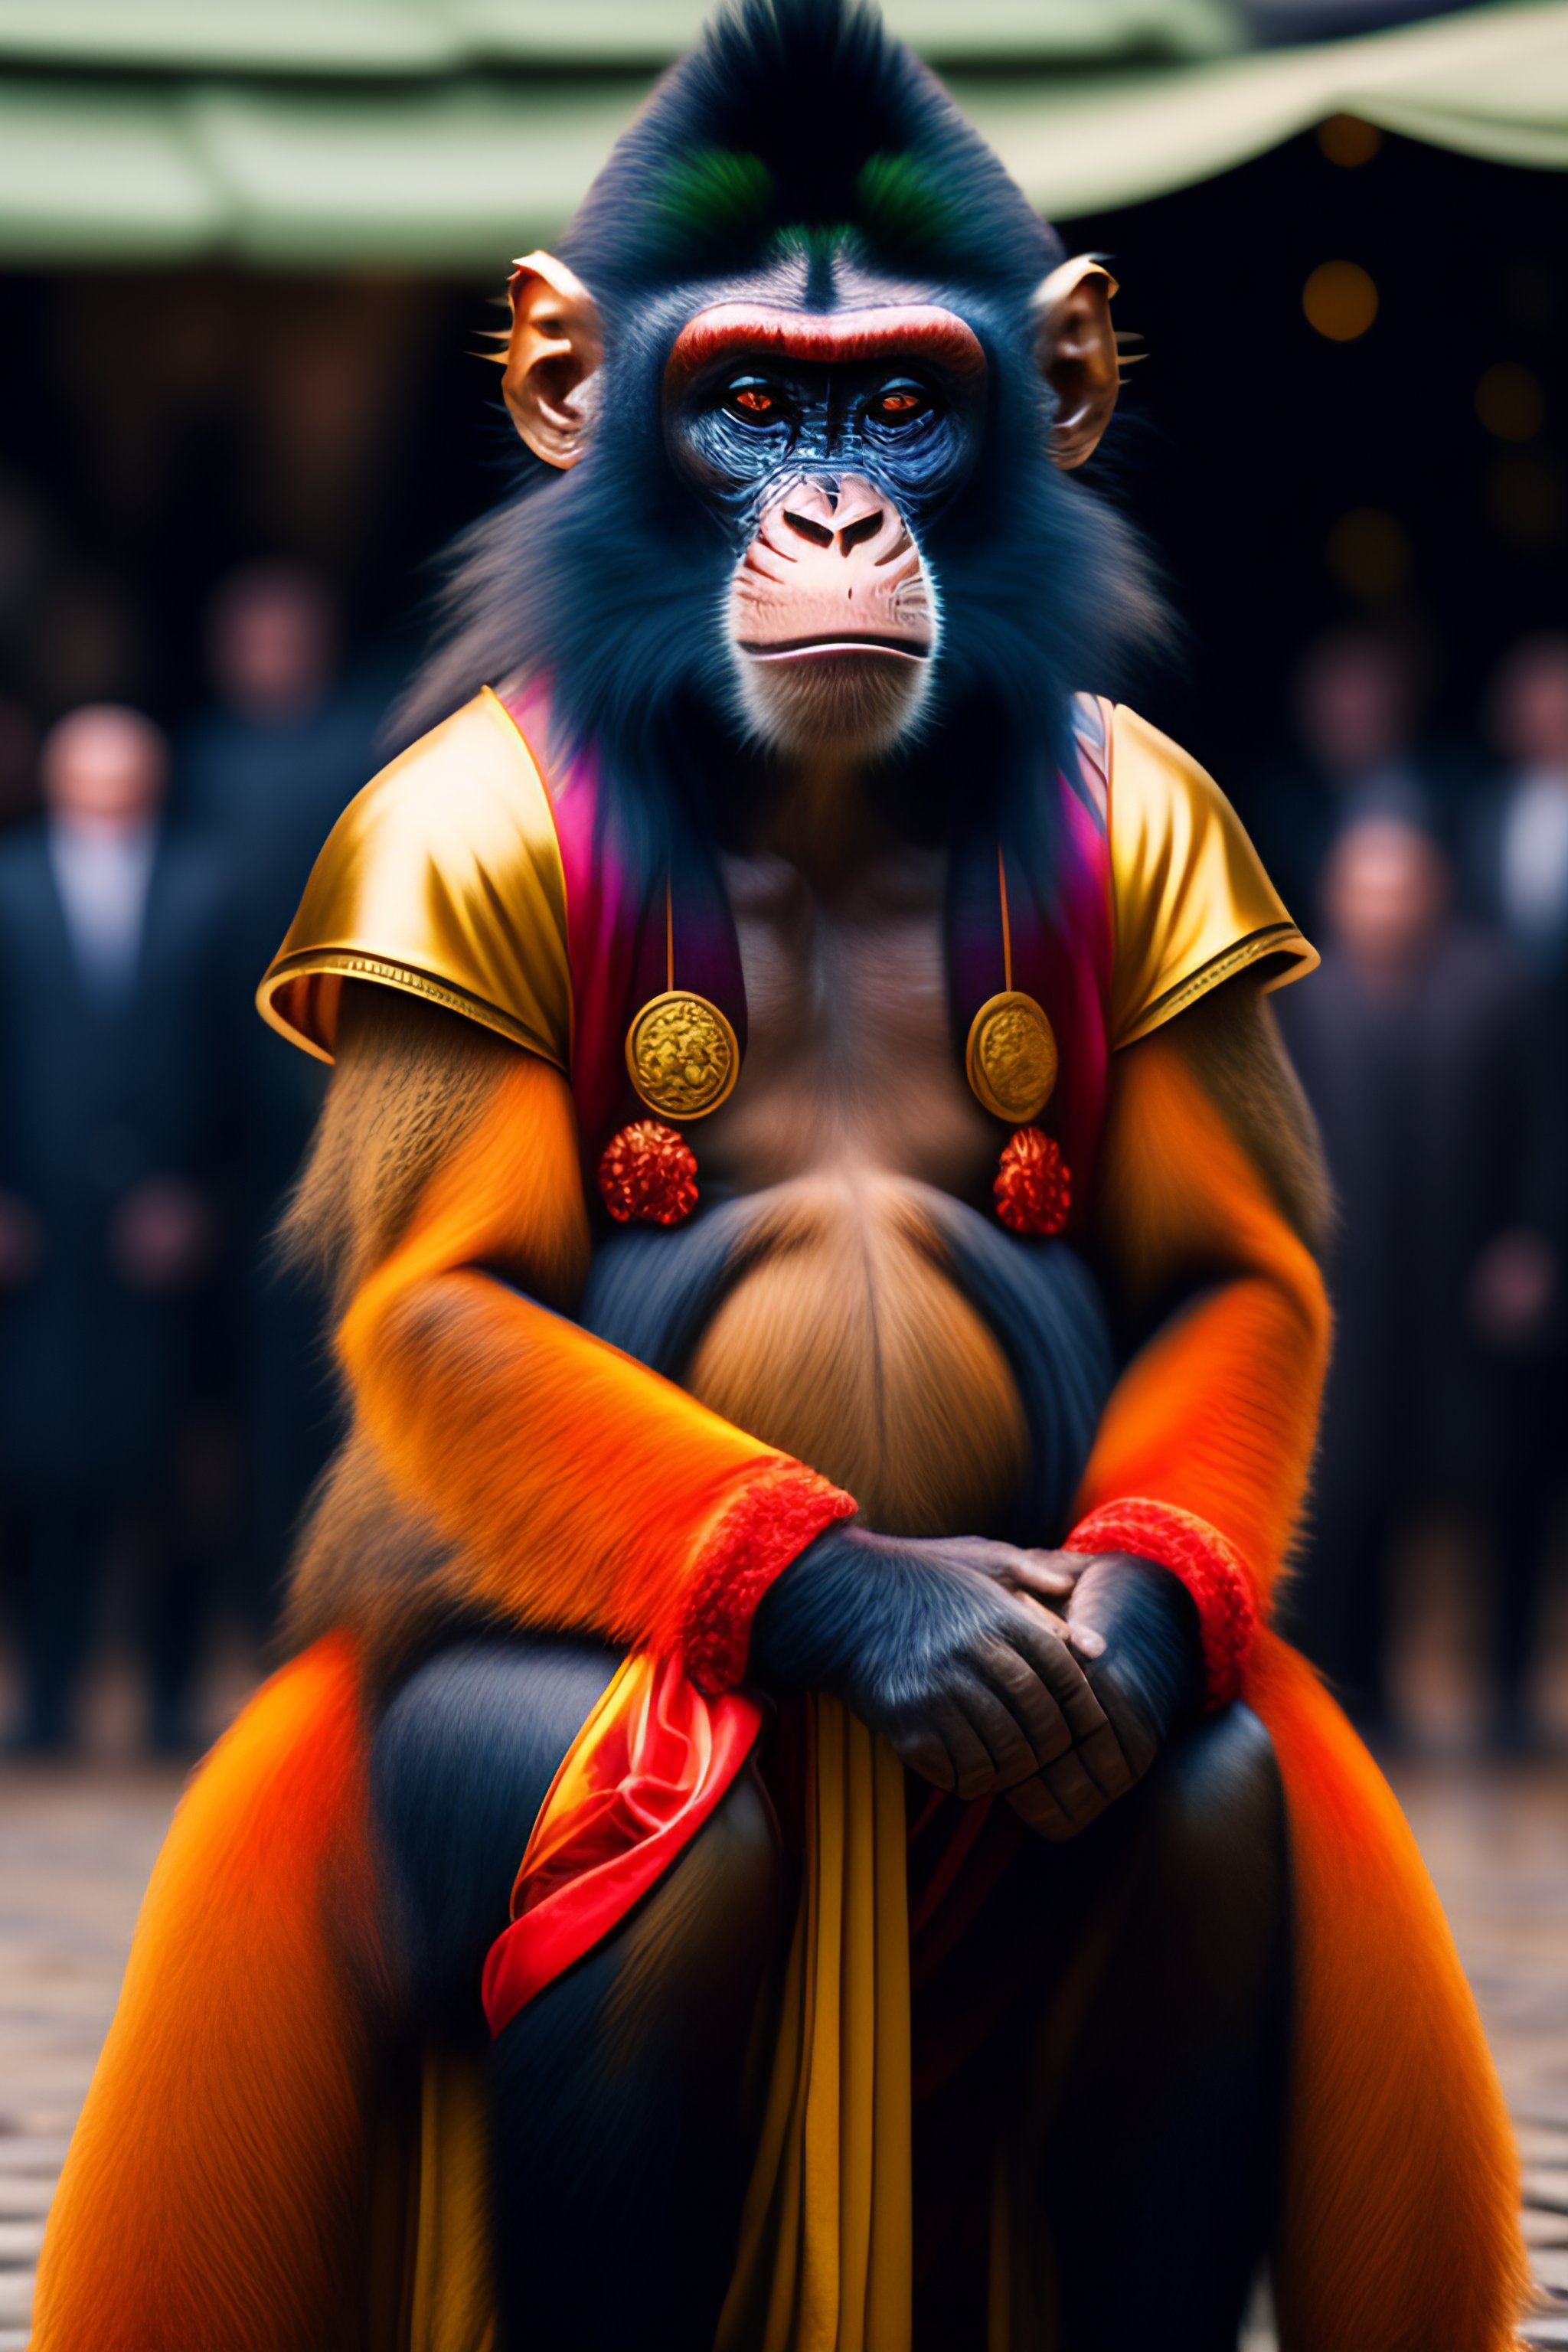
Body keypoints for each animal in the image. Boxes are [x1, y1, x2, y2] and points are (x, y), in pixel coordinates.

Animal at [31, 4, 1527, 2349]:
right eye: (747, 399)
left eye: (901, 400)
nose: (830, 503)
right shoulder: (425, 843)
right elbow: (449, 1297)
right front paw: (892, 1608)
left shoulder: (1180, 824)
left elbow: (1236, 1280)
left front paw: (1111, 1619)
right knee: (652, 1864)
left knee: (1197, 1801)